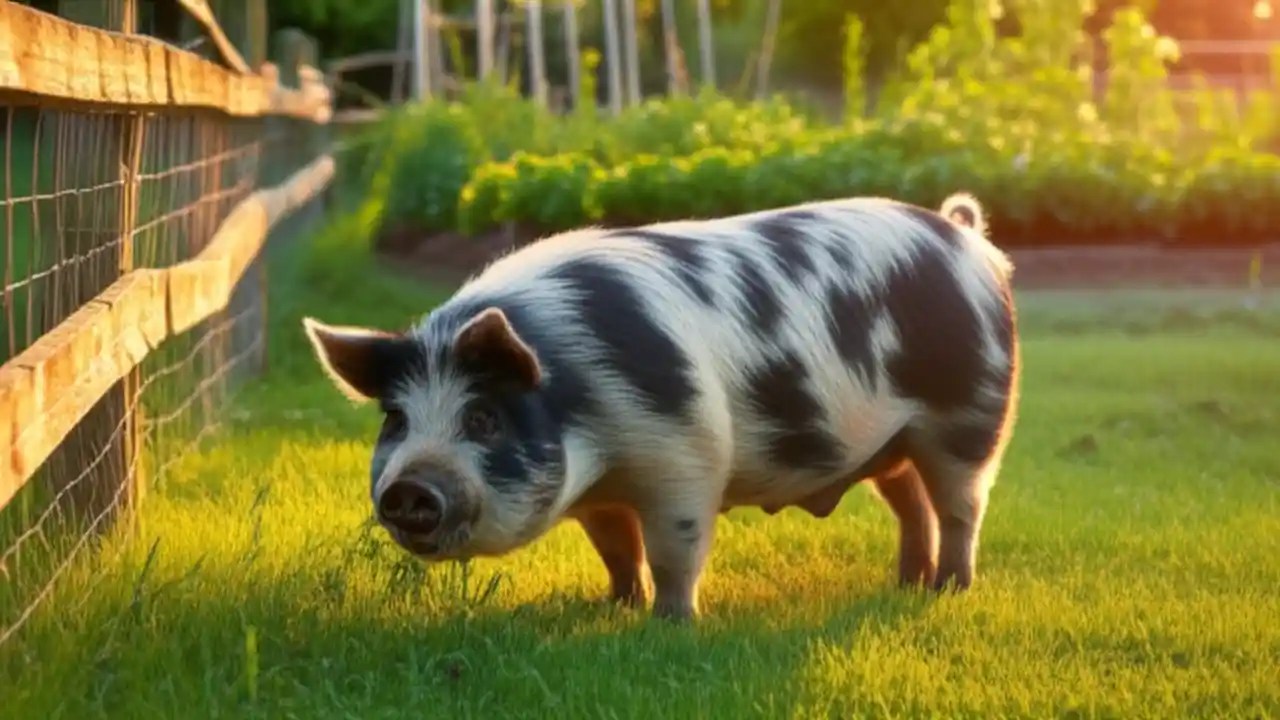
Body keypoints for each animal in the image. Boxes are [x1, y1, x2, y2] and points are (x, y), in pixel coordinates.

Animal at [302, 191, 1019, 621]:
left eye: (483, 417)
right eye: (395, 421)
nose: (409, 488)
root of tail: (968, 240)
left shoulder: (685, 458)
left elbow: (675, 547)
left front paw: (669, 623)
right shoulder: (599, 493)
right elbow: (617, 549)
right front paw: (615, 606)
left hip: (969, 416)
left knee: (961, 506)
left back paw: (950, 587)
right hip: (891, 439)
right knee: (910, 502)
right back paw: (907, 582)